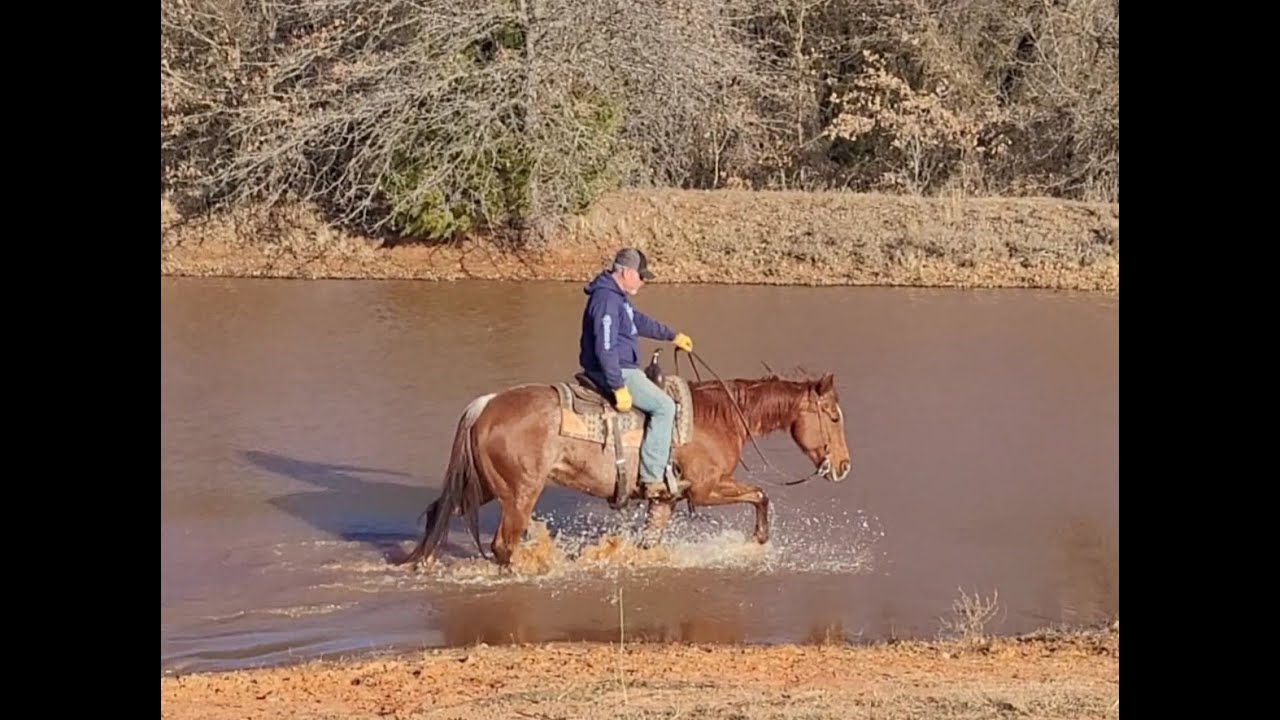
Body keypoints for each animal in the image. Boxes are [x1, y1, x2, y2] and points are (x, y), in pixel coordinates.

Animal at [395, 364, 853, 569]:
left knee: (439, 512)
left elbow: (649, 541)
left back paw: (421, 560)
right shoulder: (706, 490)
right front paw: (758, 538)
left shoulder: (665, 500)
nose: (845, 465)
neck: (718, 417)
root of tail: (485, 405)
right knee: (502, 545)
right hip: (520, 493)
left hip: (486, 487)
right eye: (833, 416)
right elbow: (761, 494)